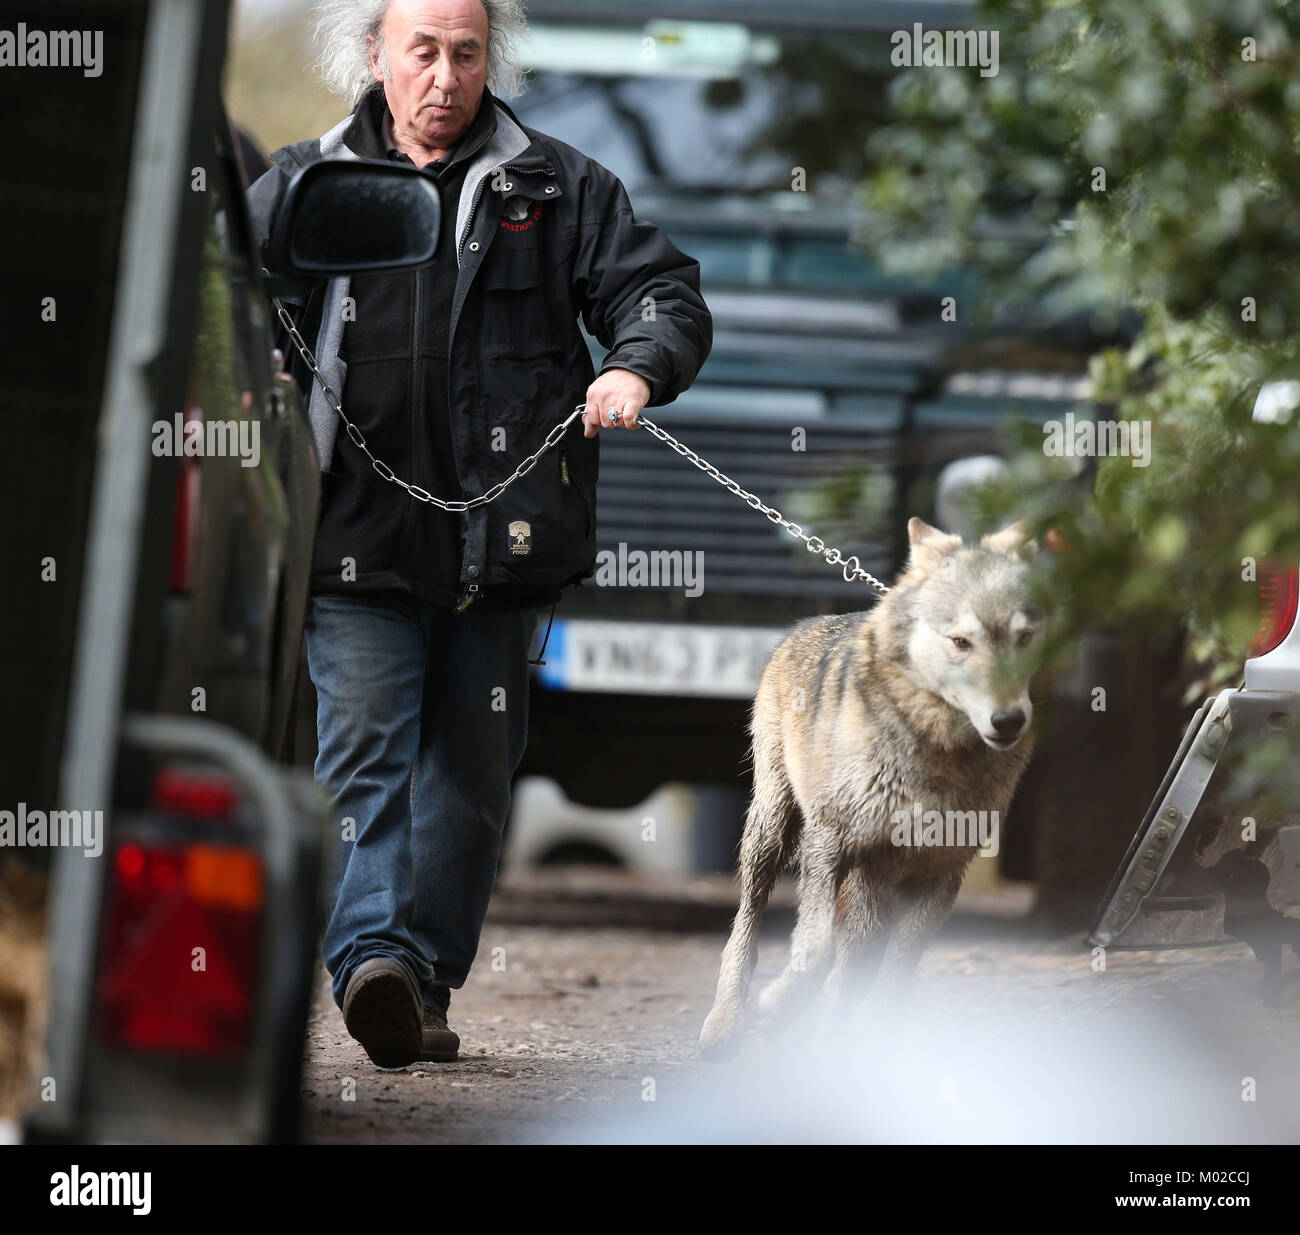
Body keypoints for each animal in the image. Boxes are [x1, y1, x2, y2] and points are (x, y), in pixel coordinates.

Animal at [699, 517, 1040, 1058]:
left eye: (1023, 638)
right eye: (961, 642)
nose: (1009, 720)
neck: (937, 759)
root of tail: (809, 623)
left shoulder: (942, 877)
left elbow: (893, 975)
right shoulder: (827, 844)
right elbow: (815, 946)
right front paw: (779, 1005)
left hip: (872, 884)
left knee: (853, 961)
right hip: (772, 834)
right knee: (746, 931)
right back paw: (726, 1023)